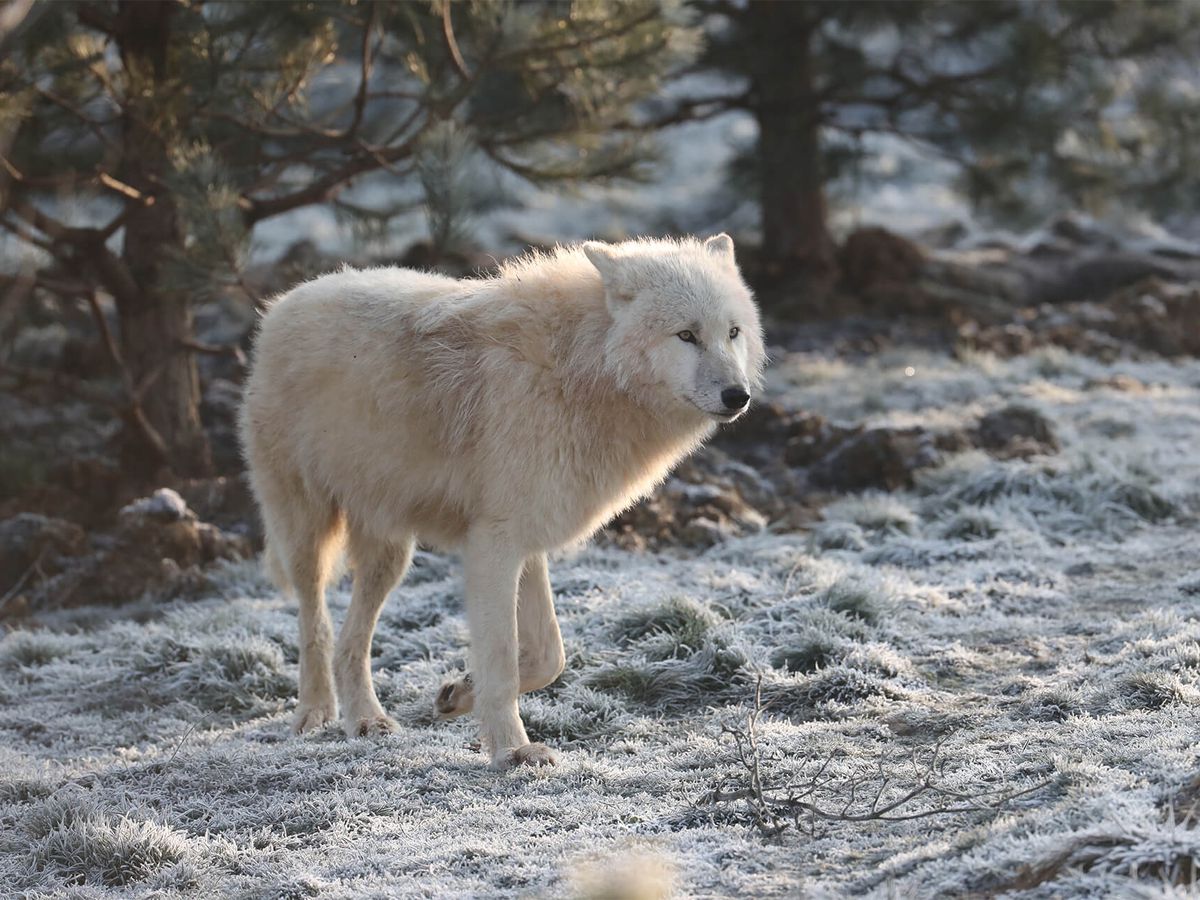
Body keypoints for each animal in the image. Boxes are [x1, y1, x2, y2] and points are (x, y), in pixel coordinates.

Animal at [239, 235, 765, 769]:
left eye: (733, 333)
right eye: (686, 335)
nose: (737, 396)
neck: (580, 365)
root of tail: (284, 302)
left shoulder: (526, 539)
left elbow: (549, 656)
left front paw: (459, 694)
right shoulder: (493, 544)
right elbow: (503, 658)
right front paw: (512, 750)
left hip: (391, 555)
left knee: (352, 644)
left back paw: (366, 720)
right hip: (306, 531)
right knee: (315, 624)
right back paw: (315, 712)